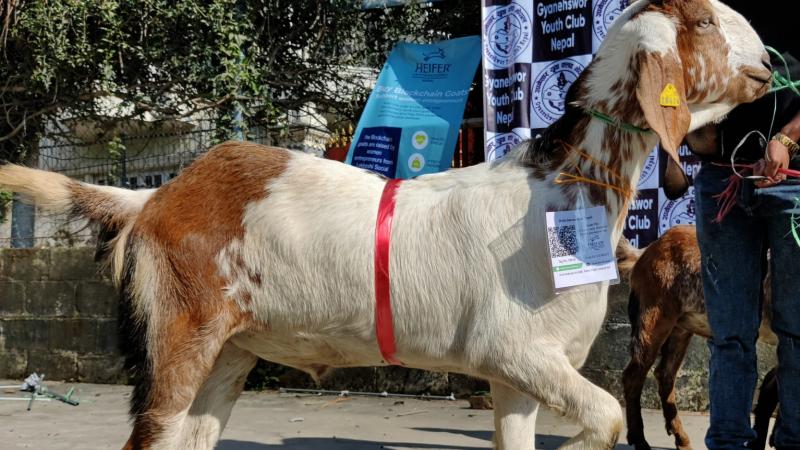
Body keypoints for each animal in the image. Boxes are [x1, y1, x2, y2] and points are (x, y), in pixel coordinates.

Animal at [618, 225, 777, 450]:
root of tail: (648, 249)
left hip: (681, 329)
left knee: (664, 373)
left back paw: (681, 439)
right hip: (653, 319)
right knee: (633, 375)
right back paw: (640, 440)